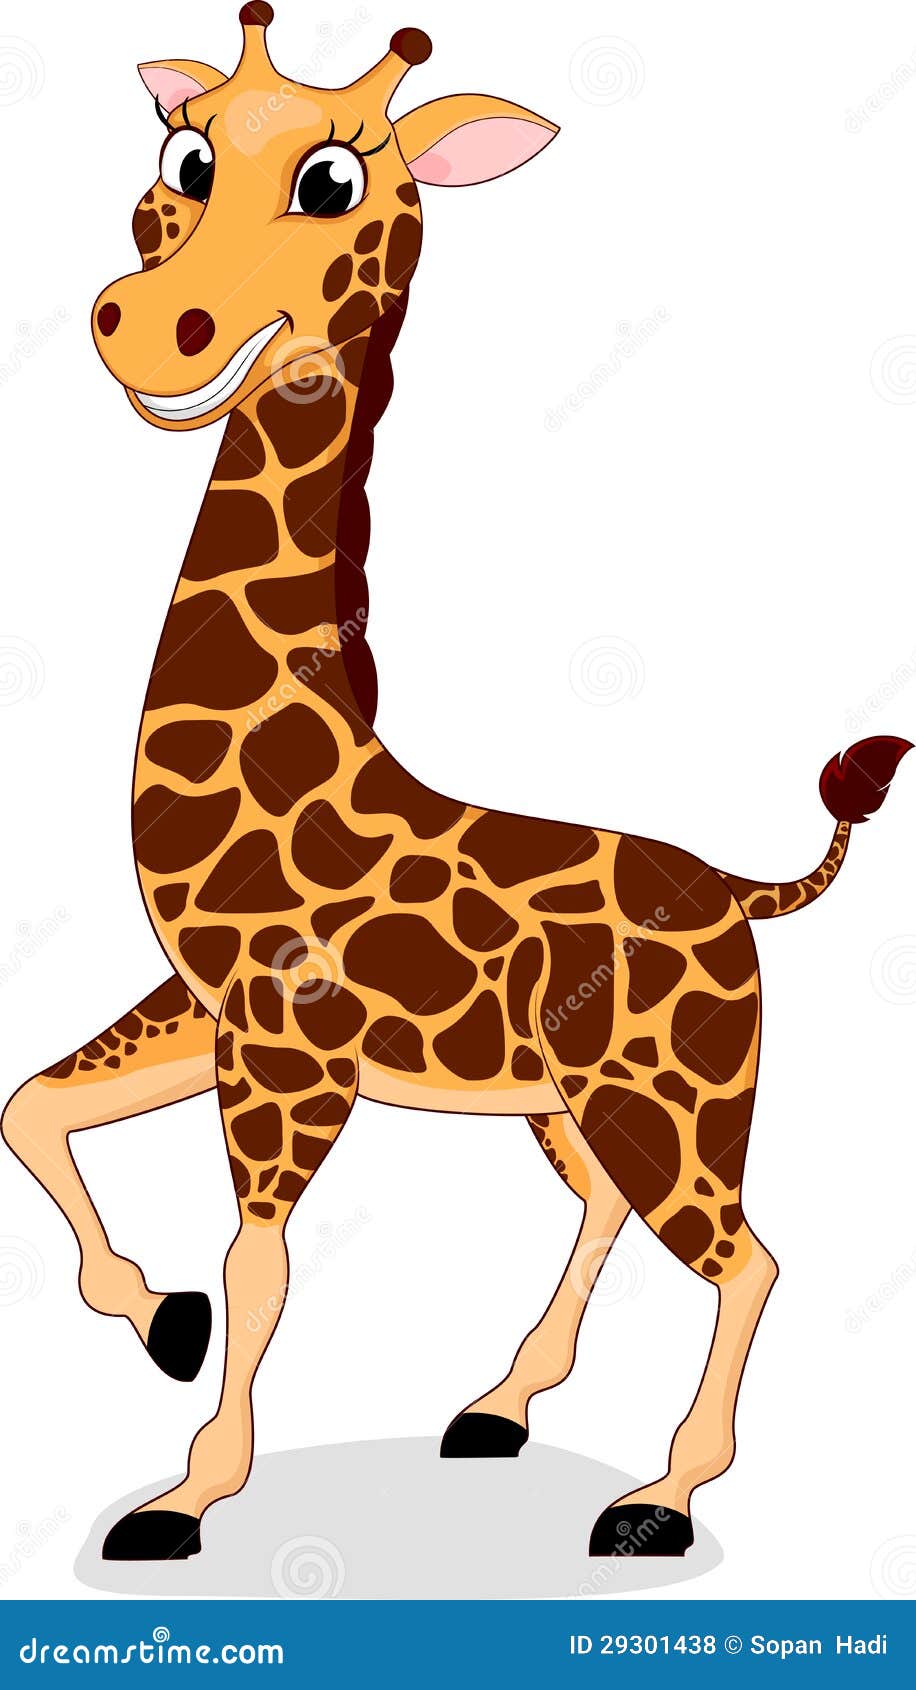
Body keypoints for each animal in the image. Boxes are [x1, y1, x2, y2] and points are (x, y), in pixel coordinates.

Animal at [1, 5, 910, 1565]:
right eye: (183, 158)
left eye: (331, 181)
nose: (151, 324)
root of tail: (746, 891)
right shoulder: (207, 1003)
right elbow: (29, 1111)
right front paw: (162, 1325)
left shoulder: (290, 1047)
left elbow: (259, 1262)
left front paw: (184, 1496)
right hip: (565, 1098)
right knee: (614, 1214)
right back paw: (496, 1406)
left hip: (675, 1095)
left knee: (750, 1254)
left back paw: (656, 1497)